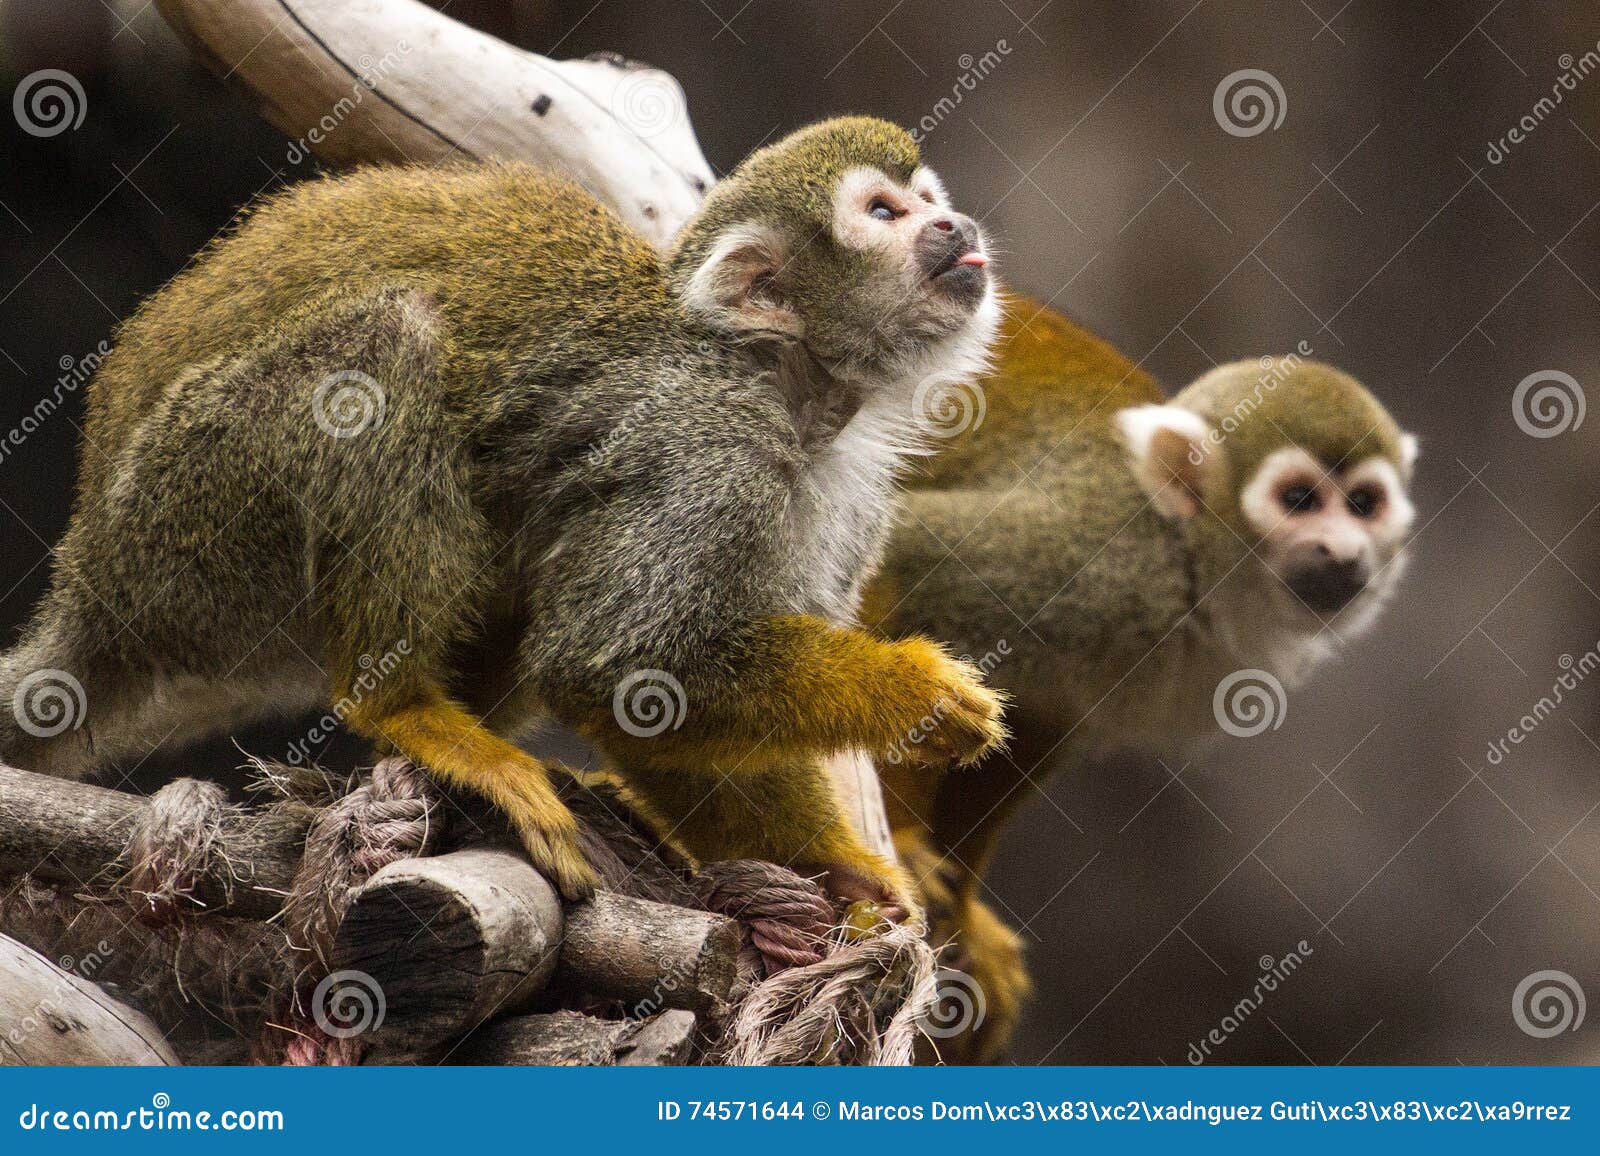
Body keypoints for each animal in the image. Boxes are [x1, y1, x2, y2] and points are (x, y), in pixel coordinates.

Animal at [0, 117, 1006, 912]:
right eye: (885, 214)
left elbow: (647, 702)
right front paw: (912, 691)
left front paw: (833, 867)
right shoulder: (697, 451)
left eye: (925, 198)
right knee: (382, 345)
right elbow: (615, 664)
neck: (788, 388)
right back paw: (406, 707)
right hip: (190, 523)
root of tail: (90, 584)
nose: (953, 224)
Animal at [862, 300, 1418, 1059]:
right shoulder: (1101, 563)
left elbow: (1035, 724)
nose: (1344, 551)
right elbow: (901, 552)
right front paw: (907, 854)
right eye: (1300, 498)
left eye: (1363, 504)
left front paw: (967, 925)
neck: (1189, 571)